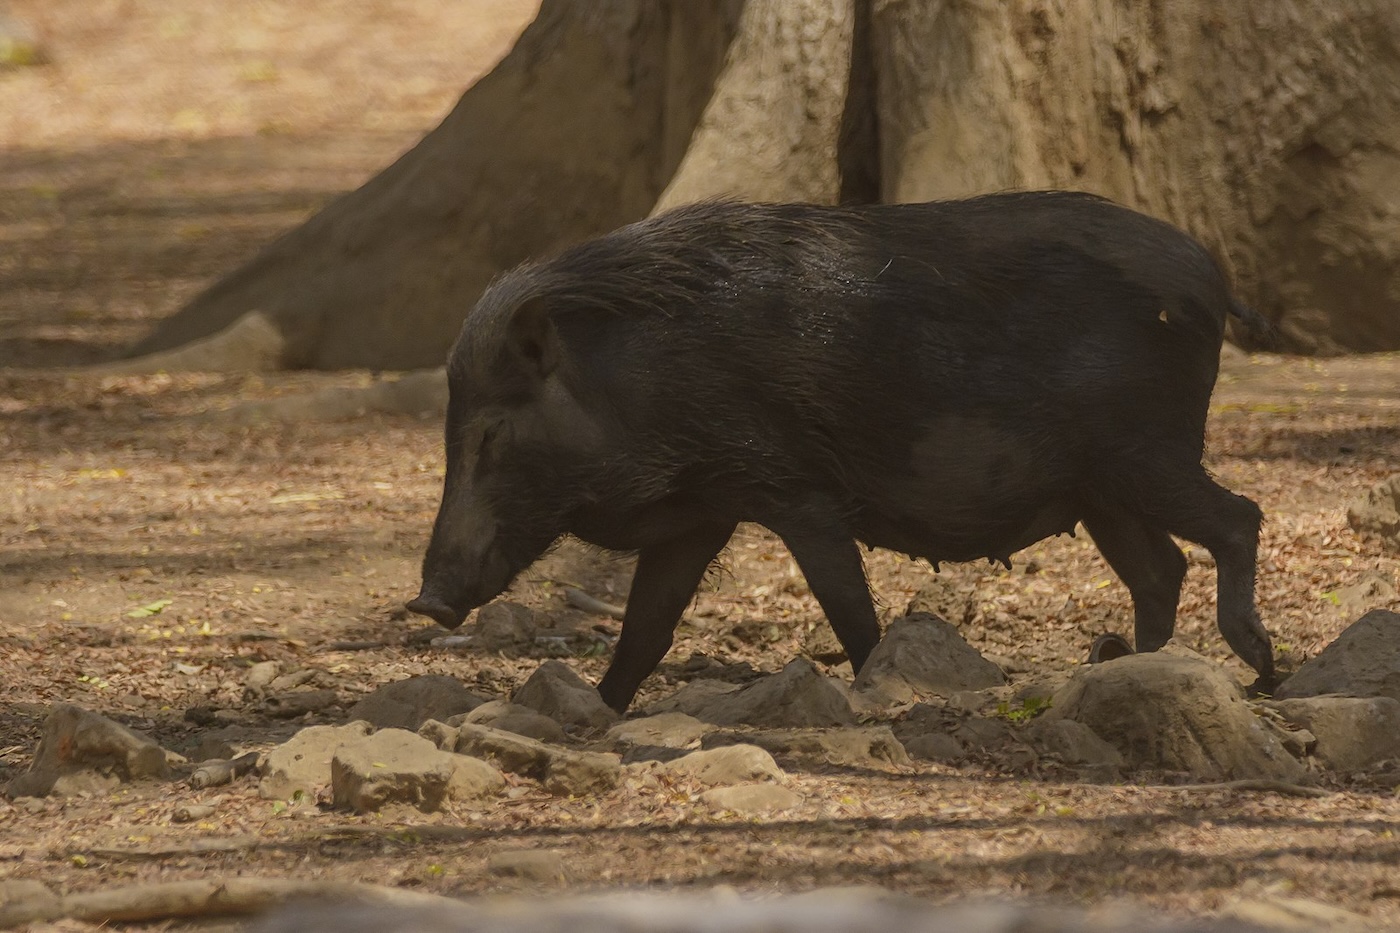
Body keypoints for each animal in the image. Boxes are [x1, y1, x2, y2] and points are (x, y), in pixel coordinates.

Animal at [408, 192, 1275, 712]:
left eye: (491, 431)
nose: (424, 601)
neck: (639, 382)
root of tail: (1212, 281)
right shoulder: (704, 511)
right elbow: (647, 626)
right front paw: (597, 708)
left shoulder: (797, 493)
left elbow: (852, 611)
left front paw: (873, 691)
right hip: (1103, 492)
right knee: (1162, 569)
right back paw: (1117, 665)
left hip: (1146, 456)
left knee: (1240, 516)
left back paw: (1260, 667)